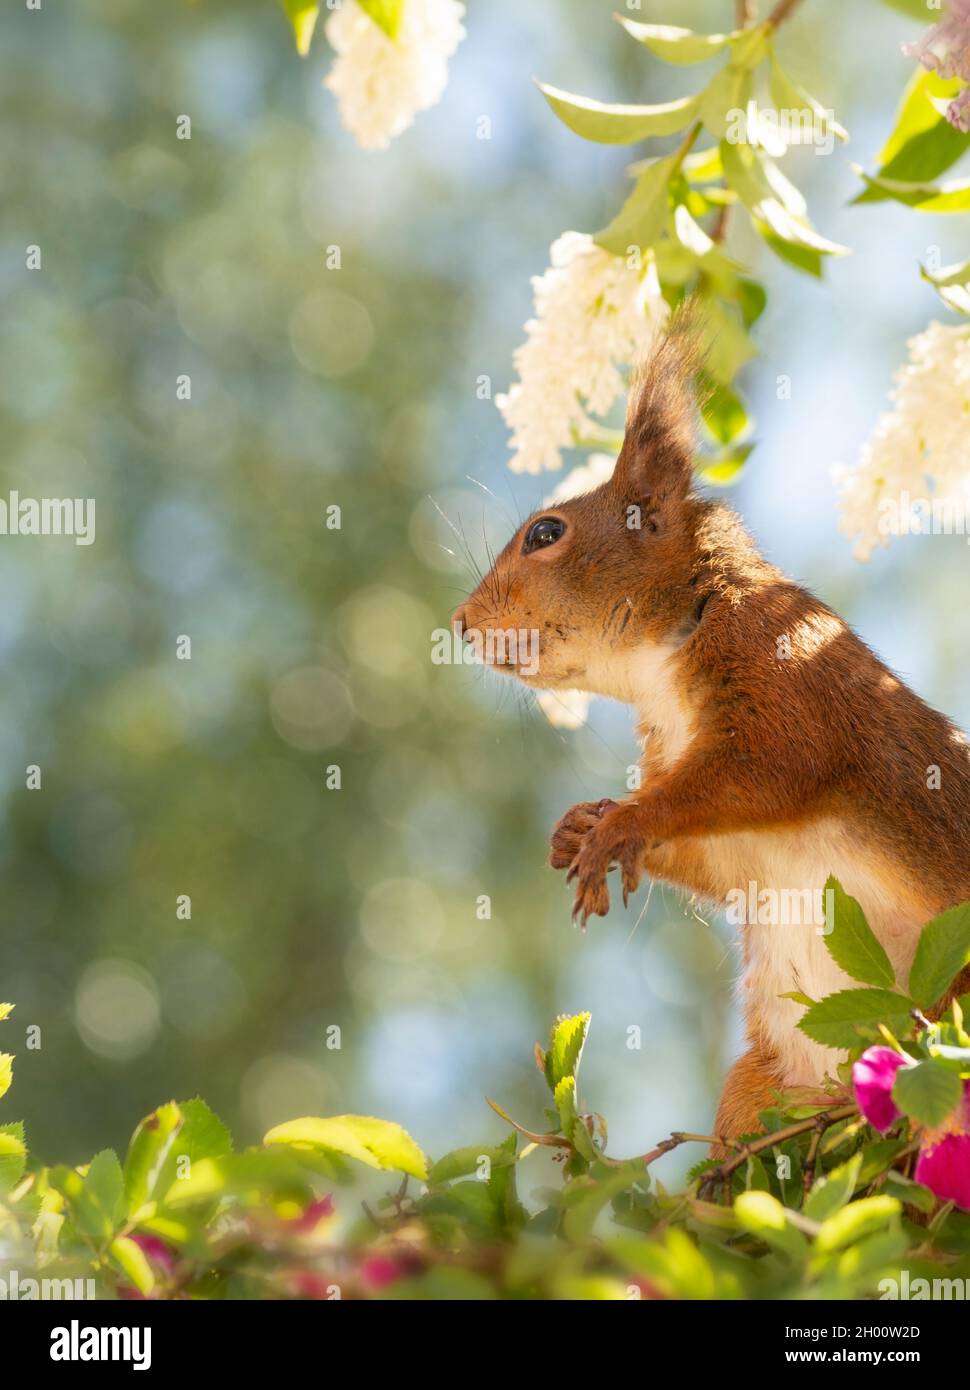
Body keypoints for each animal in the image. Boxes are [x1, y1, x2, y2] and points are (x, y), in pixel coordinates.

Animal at [452, 320, 970, 1140]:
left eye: (545, 532)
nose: (461, 623)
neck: (661, 661)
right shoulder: (740, 837)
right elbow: (717, 861)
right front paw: (578, 827)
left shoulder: (788, 678)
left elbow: (770, 768)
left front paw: (620, 823)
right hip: (762, 1089)